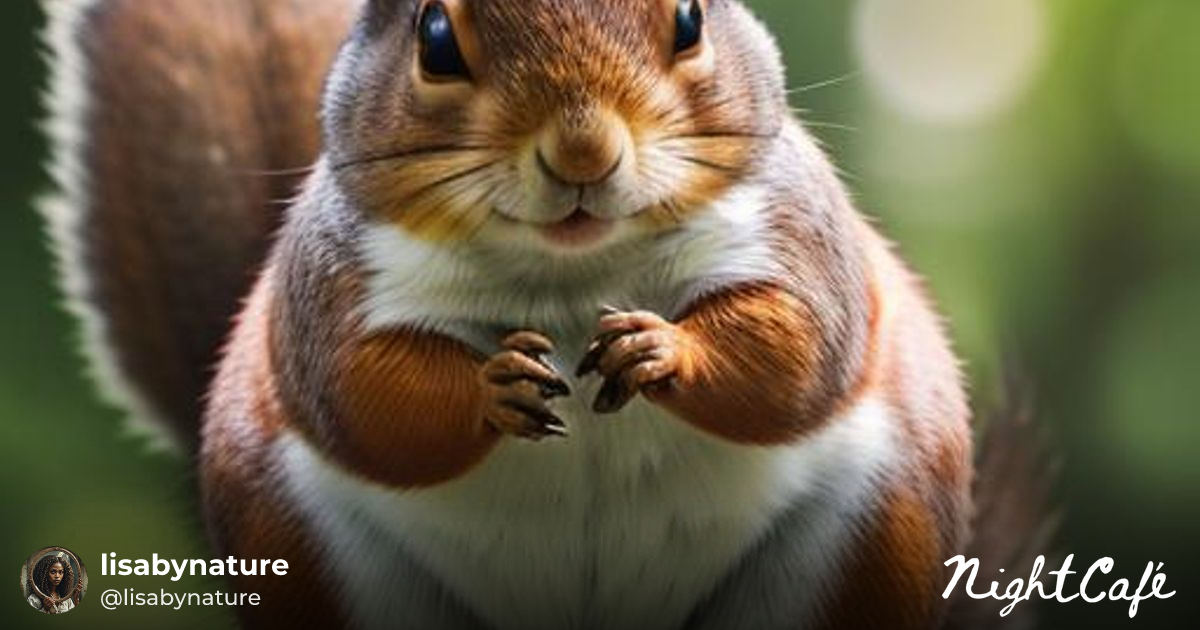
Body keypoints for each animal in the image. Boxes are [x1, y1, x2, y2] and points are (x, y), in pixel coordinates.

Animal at [41, 1, 1053, 629]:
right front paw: (491, 389)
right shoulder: (323, 288)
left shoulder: (797, 228)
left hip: (874, 543)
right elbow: (360, 397)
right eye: (435, 35)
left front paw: (662, 350)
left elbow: (799, 346)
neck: (571, 272)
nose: (582, 152)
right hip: (306, 562)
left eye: (691, 19)